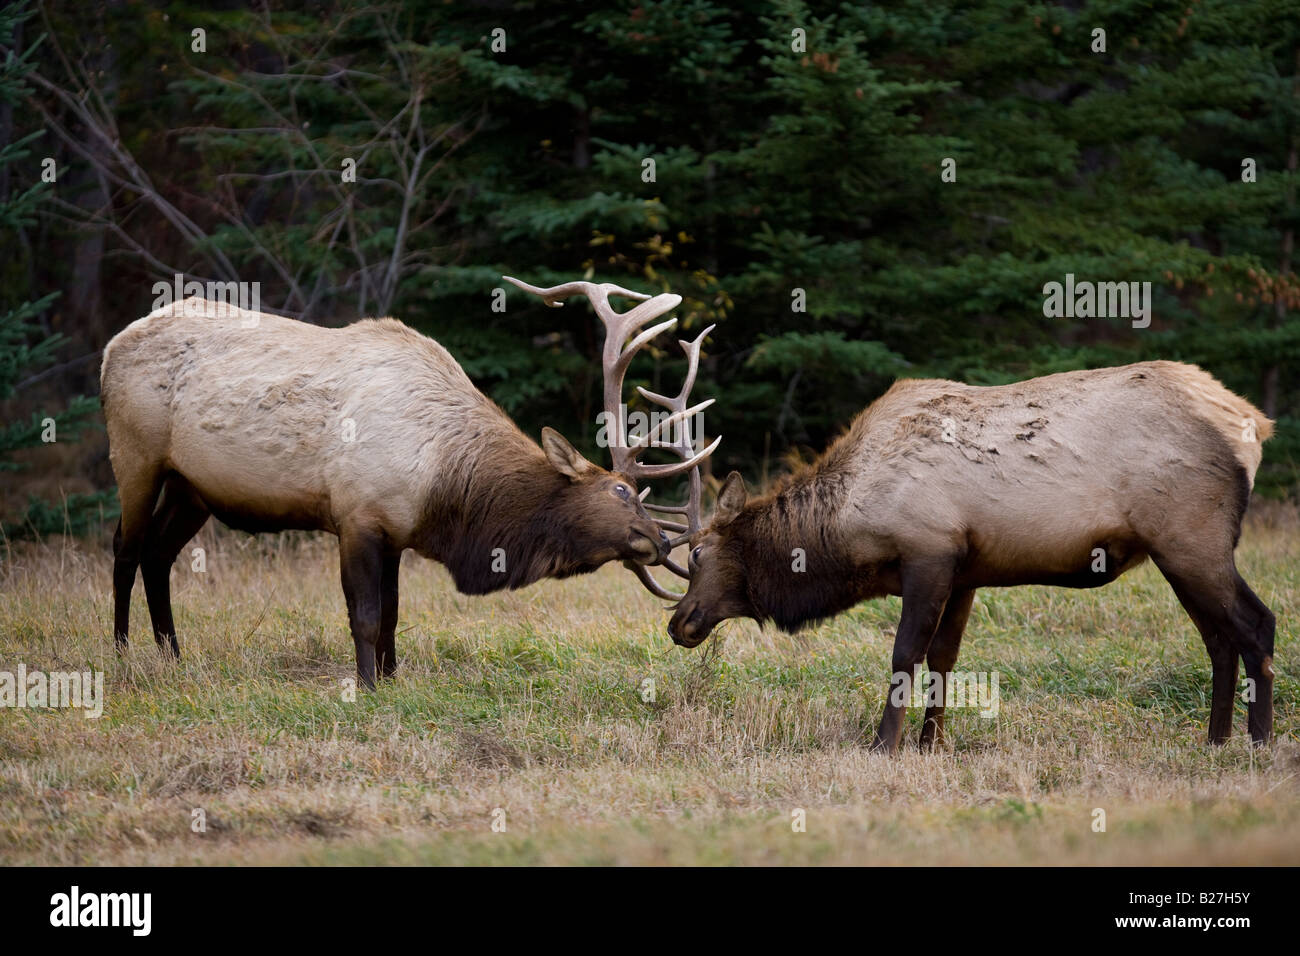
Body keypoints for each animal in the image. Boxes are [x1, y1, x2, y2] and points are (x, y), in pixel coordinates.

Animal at [100, 277, 718, 688]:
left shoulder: (395, 533)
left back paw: (173, 655)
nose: (660, 539)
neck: (445, 487)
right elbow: (366, 615)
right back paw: (124, 655)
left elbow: (393, 616)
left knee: (158, 554)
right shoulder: (356, 516)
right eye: (620, 490)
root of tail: (110, 346)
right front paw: (366, 686)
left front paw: (392, 679)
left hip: (192, 487)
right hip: (135, 453)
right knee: (125, 548)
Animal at [664, 361, 1277, 752]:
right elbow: (944, 659)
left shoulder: (928, 549)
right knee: (1218, 638)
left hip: (1192, 537)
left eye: (697, 555)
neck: (847, 527)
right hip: (1178, 552)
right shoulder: (965, 572)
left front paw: (883, 745)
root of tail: (1255, 423)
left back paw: (1259, 741)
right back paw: (1215, 739)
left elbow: (905, 654)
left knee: (1256, 623)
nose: (679, 622)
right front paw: (929, 744)